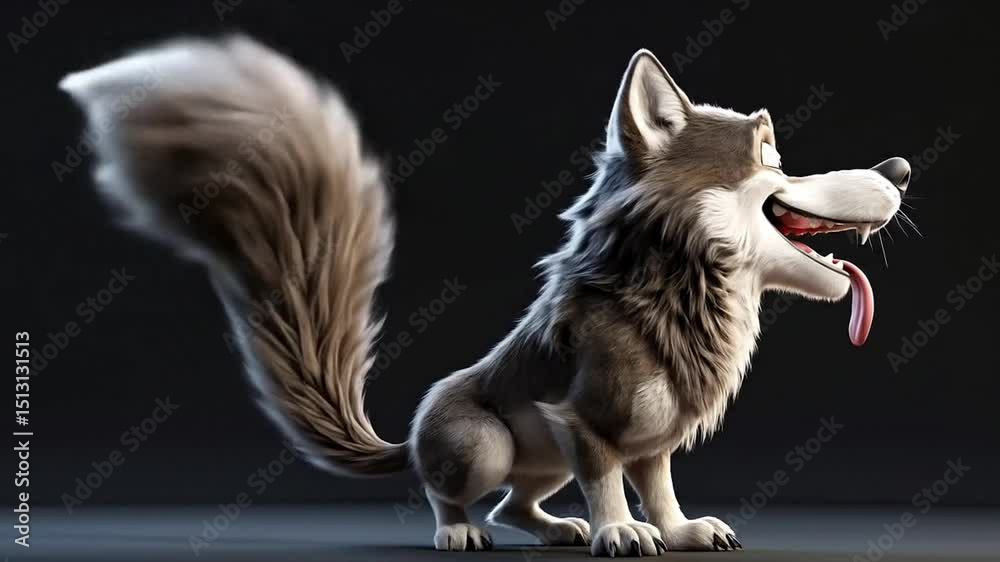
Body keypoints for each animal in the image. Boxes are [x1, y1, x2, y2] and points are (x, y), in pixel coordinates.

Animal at [60, 37, 909, 556]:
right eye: (771, 153)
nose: (900, 168)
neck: (678, 290)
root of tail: (407, 434)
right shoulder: (586, 422)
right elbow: (613, 485)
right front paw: (619, 532)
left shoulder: (652, 437)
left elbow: (659, 486)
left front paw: (677, 530)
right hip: (486, 441)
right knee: (458, 497)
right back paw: (460, 533)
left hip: (541, 461)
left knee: (514, 505)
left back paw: (556, 528)